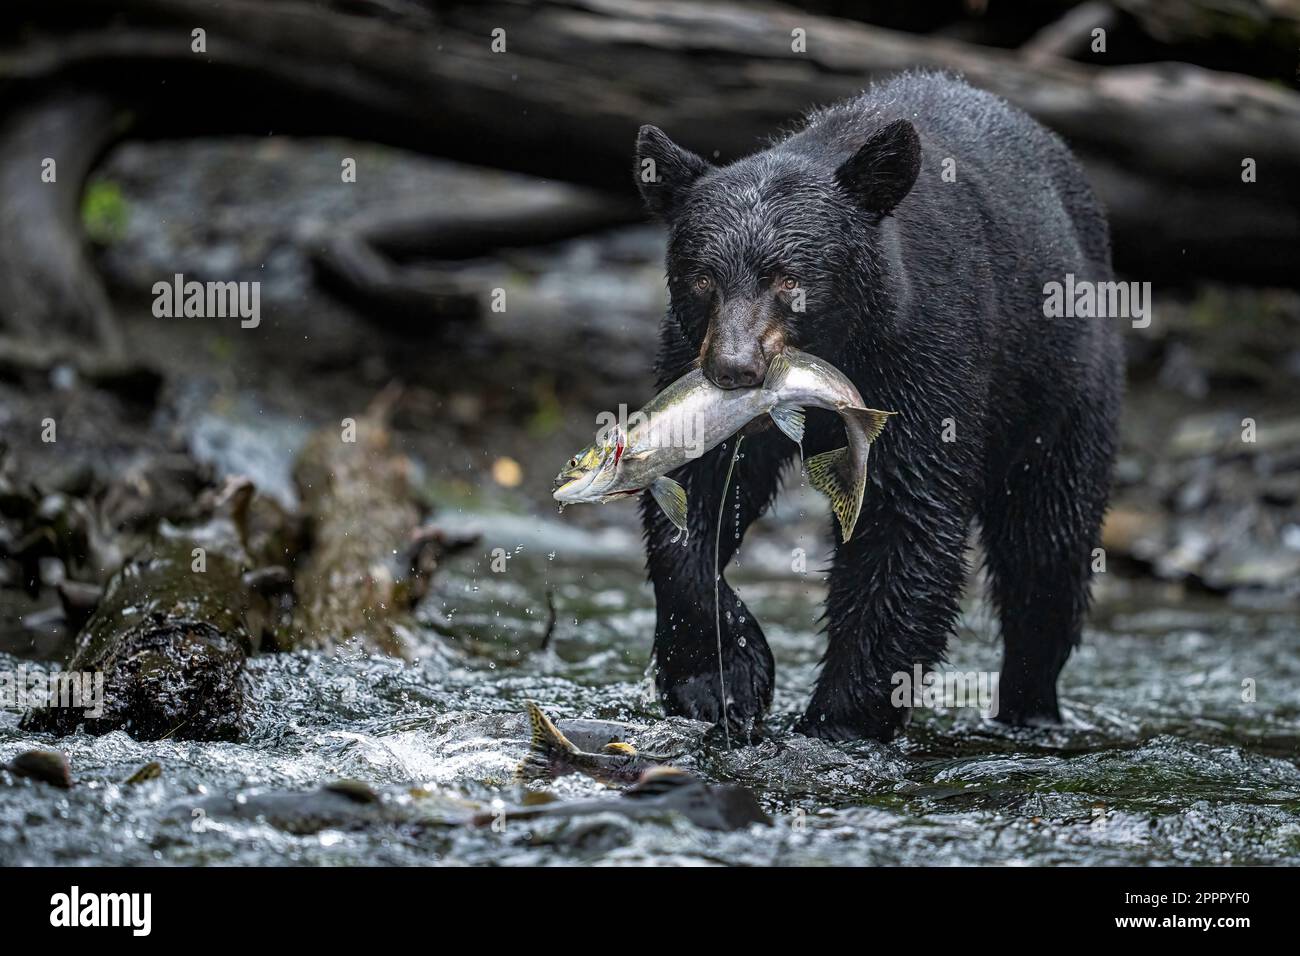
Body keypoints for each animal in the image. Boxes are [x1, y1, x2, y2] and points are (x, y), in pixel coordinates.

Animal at [634, 72, 1123, 742]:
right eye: (702, 277)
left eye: (789, 279)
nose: (734, 370)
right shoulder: (689, 359)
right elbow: (693, 492)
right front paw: (723, 678)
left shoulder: (923, 353)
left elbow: (905, 518)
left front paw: (838, 723)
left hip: (1060, 392)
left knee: (1047, 548)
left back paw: (1030, 708)